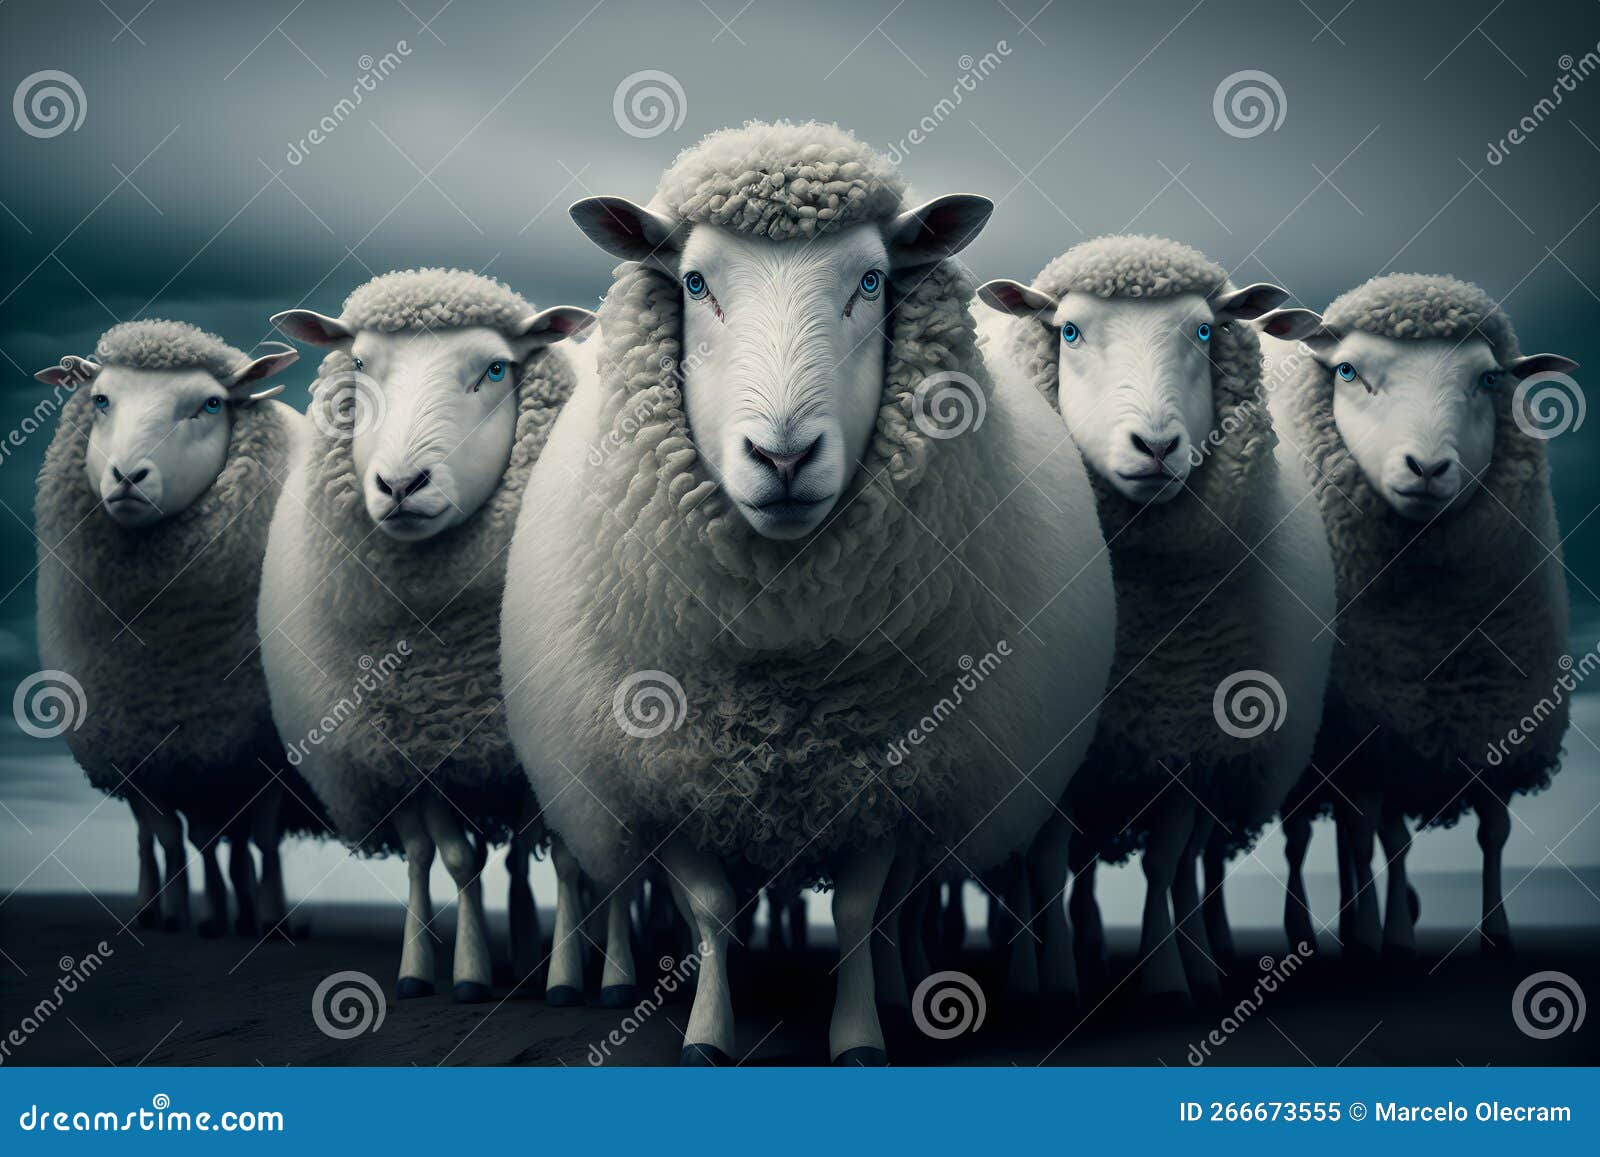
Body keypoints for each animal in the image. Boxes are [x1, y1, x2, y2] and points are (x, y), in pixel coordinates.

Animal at [32, 320, 314, 938]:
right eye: (100, 400)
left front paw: (269, 917)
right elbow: (166, 836)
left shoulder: (263, 750)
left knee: (231, 842)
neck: (168, 655)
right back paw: (161, 907)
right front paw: (182, 909)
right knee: (168, 840)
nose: (128, 478)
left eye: (209, 404)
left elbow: (260, 840)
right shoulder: (137, 748)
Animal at [263, 269, 604, 1002]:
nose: (399, 484)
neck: (447, 664)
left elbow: (566, 857)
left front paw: (566, 976)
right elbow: (454, 858)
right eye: (361, 365)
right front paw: (468, 970)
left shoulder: (542, 744)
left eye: (495, 368)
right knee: (431, 856)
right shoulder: (419, 748)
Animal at [501, 120, 1117, 1064]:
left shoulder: (886, 771)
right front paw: (708, 1031)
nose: (783, 456)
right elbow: (711, 907)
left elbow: (863, 907)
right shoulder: (670, 776)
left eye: (870, 279)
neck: (783, 679)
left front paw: (860, 1032)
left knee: (903, 904)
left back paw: (901, 987)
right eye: (694, 281)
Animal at [978, 235, 1335, 1005]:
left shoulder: (1185, 735)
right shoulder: (1062, 748)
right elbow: (1044, 865)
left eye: (1202, 330)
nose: (1156, 446)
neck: (1139, 632)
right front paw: (1055, 978)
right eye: (1070, 331)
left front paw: (1169, 974)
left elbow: (1167, 863)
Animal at [1259, 274, 1577, 959]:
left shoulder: (1491, 719)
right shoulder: (1369, 728)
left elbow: (1493, 832)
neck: (1433, 637)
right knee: (1309, 839)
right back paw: (1325, 927)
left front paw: (1496, 931)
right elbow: (1386, 837)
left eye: (1489, 380)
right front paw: (1395, 938)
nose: (1427, 468)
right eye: (1348, 370)